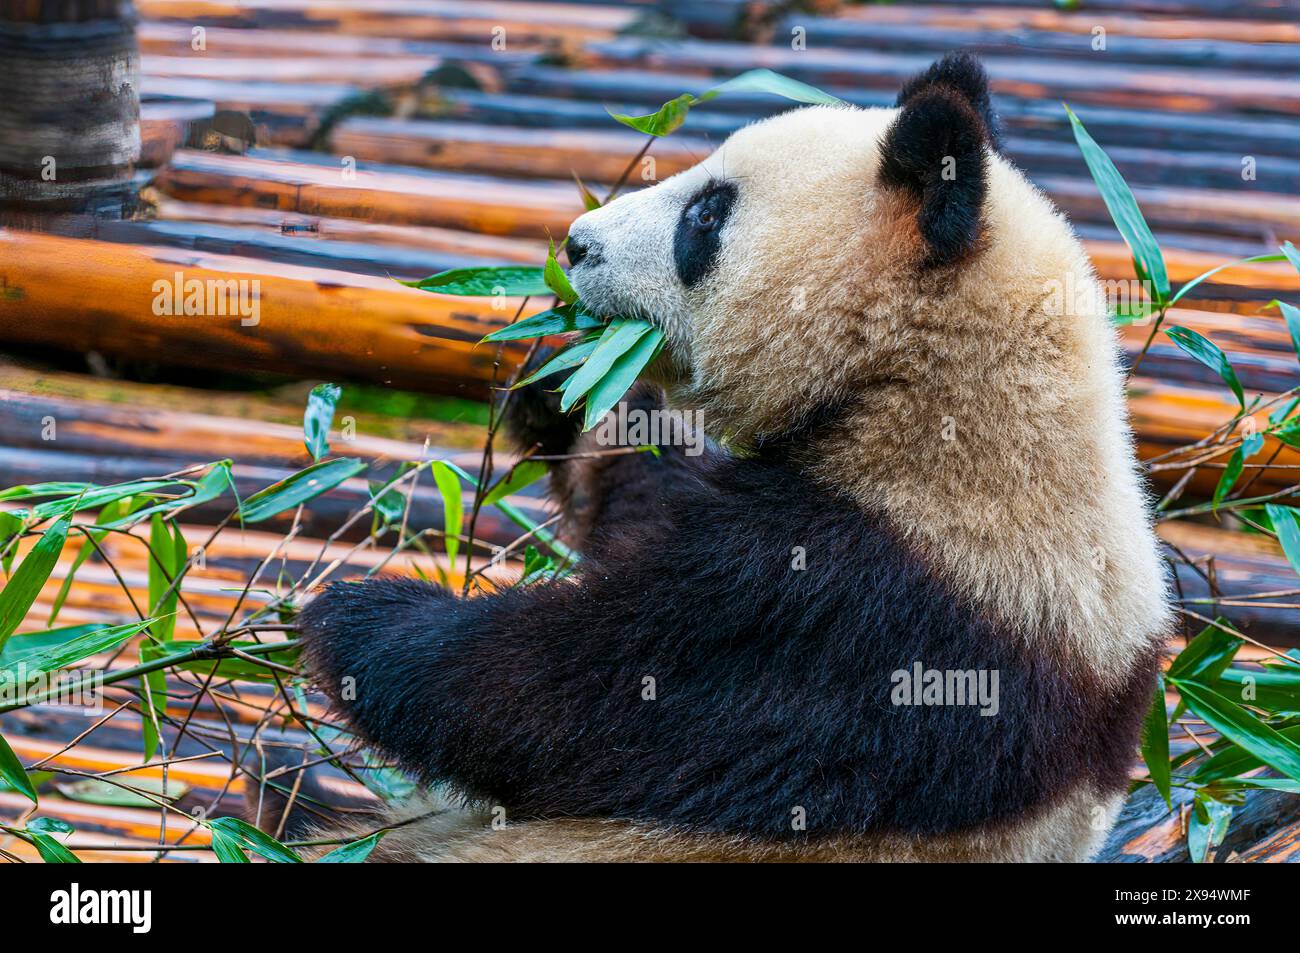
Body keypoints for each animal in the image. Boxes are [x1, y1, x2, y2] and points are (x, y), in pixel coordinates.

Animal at [289, 53, 1171, 862]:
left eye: (706, 216)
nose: (574, 245)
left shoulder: (874, 611)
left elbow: (580, 699)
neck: (933, 386)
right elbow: (651, 502)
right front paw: (566, 384)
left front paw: (360, 615)